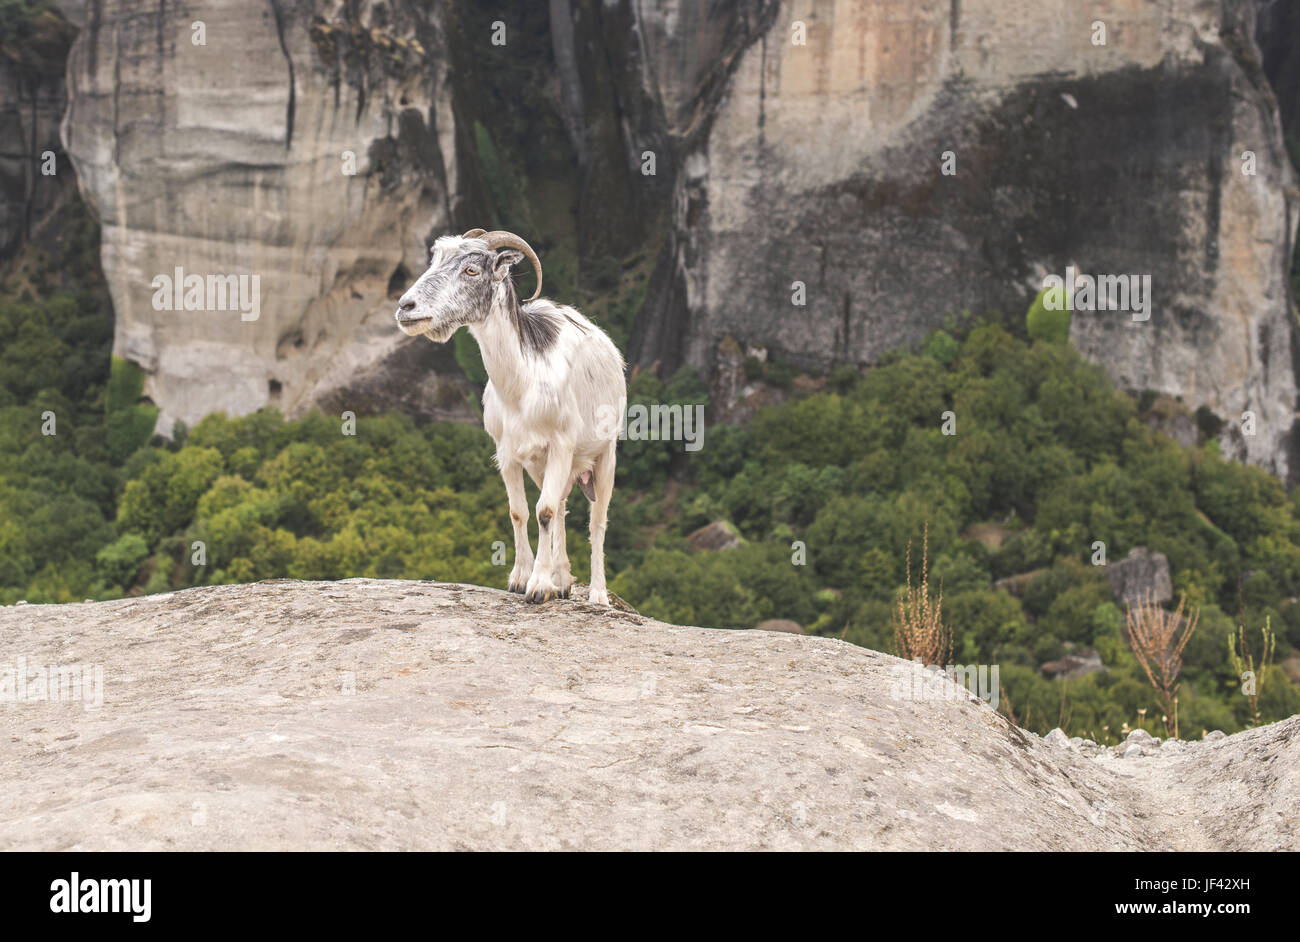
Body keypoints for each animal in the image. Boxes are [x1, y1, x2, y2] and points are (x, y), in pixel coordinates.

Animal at [395, 229, 626, 605]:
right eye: (435, 259)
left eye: (471, 270)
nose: (406, 307)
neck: (522, 387)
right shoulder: (507, 452)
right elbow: (521, 511)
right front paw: (521, 578)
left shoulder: (561, 444)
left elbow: (544, 511)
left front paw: (538, 587)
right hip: (546, 467)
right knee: (563, 506)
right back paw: (563, 580)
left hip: (603, 456)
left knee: (597, 521)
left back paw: (596, 594)